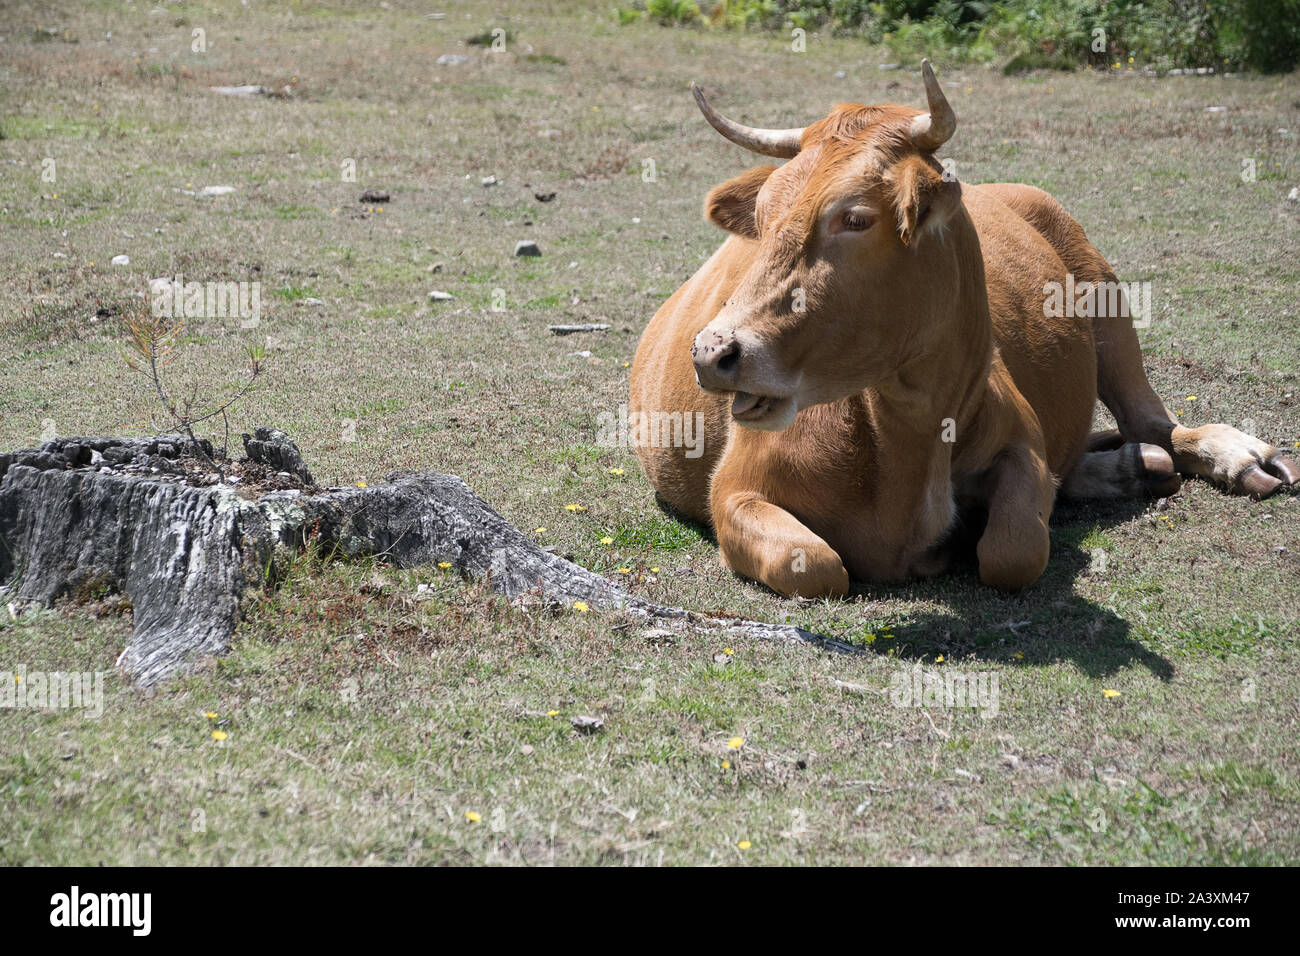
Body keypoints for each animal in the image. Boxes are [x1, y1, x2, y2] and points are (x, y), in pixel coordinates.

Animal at [628, 61, 1298, 598]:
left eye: (855, 217)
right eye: (763, 215)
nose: (713, 351)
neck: (906, 436)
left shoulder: (1020, 443)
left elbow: (1014, 550)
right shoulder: (734, 491)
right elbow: (816, 566)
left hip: (1109, 298)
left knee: (1153, 421)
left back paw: (1230, 456)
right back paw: (1132, 466)